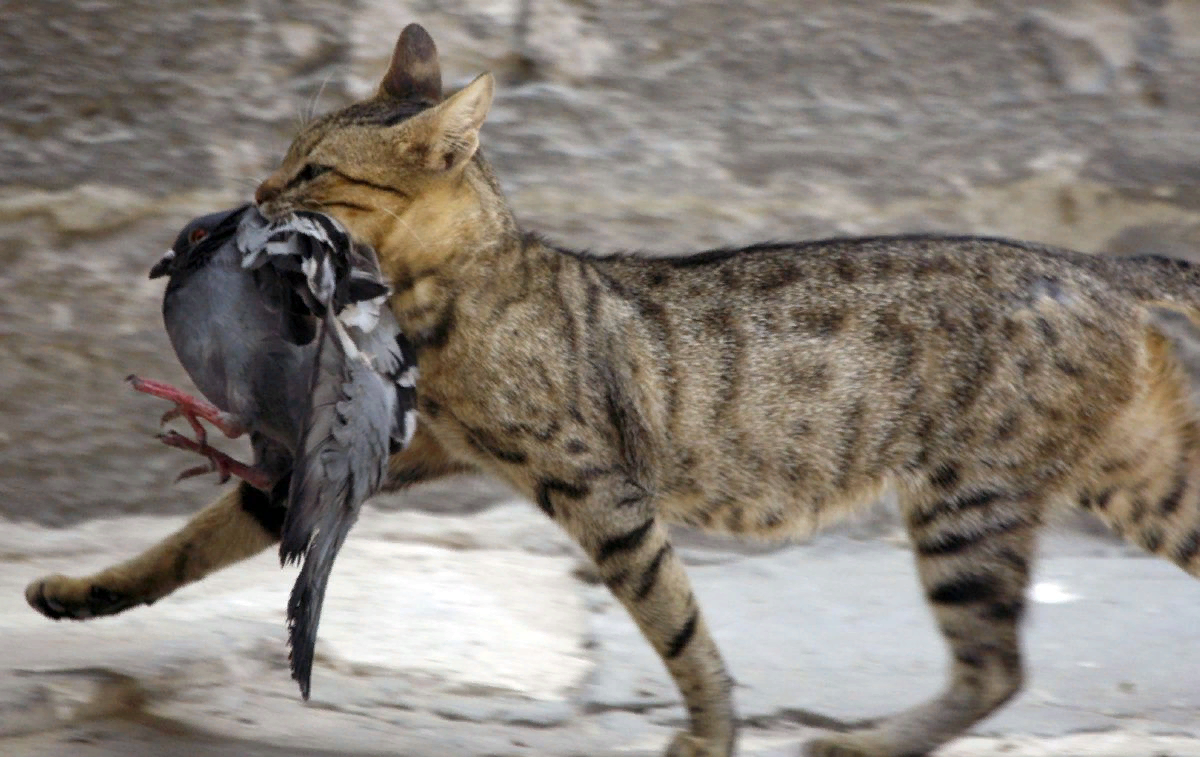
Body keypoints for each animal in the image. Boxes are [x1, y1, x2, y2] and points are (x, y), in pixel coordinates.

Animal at [28, 23, 1200, 757]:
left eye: (314, 171)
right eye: (284, 154)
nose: (258, 192)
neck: (449, 289)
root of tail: (1100, 266)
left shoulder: (601, 494)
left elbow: (680, 628)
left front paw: (714, 733)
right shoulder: (392, 458)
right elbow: (194, 538)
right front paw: (81, 594)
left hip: (969, 502)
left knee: (994, 668)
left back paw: (865, 741)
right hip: (1132, 484)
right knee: (1006, 660)